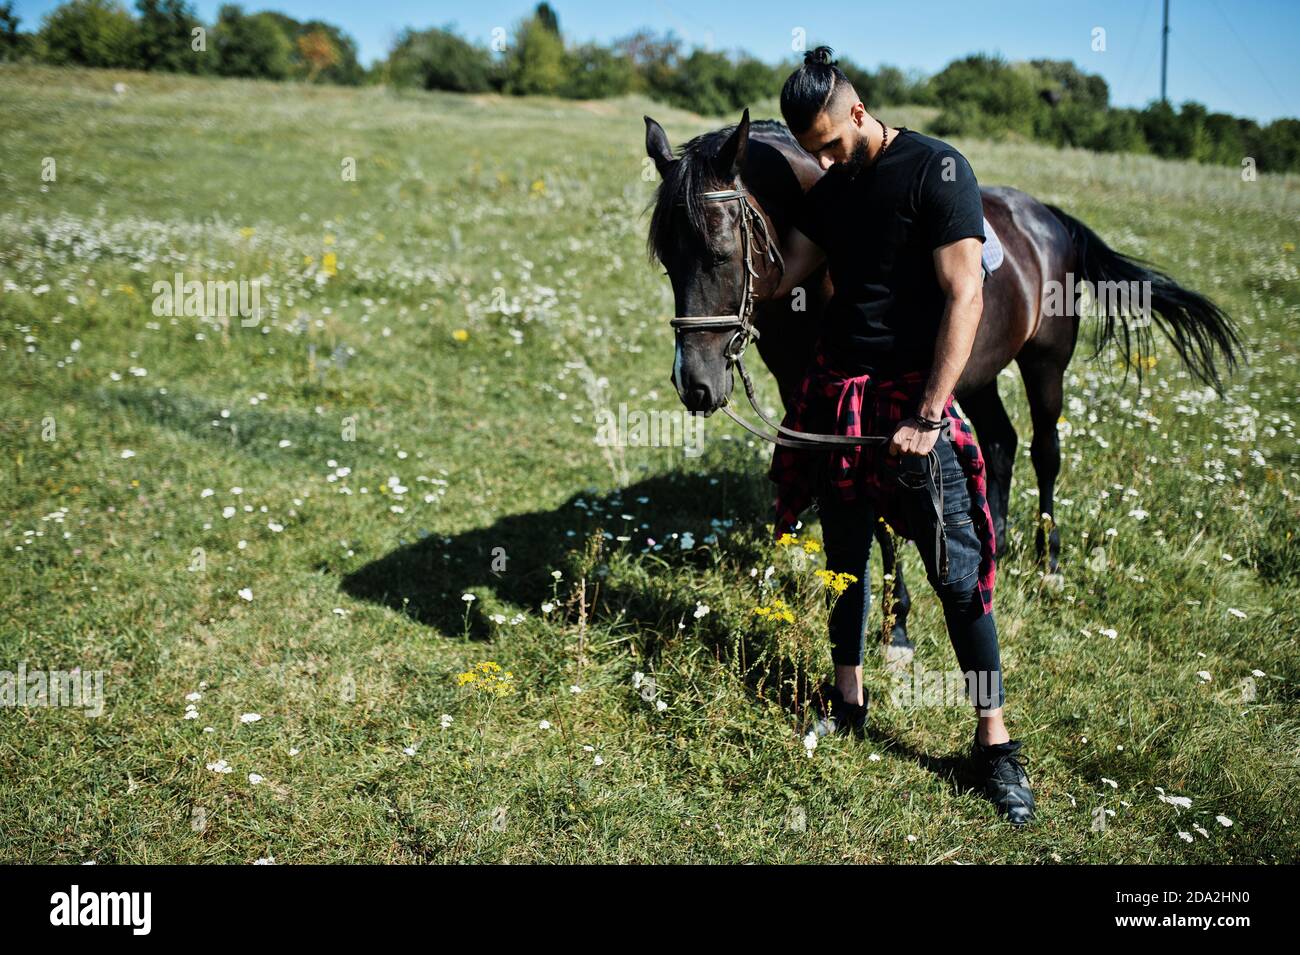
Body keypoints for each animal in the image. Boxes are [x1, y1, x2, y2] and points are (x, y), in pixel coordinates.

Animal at [644, 108, 1242, 653]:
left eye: (720, 254)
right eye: (667, 261)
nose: (693, 383)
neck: (822, 276)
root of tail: (1046, 217)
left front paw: (897, 626)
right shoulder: (814, 398)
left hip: (1044, 365)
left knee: (1045, 452)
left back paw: (1047, 563)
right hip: (975, 377)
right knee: (1001, 443)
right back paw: (995, 541)